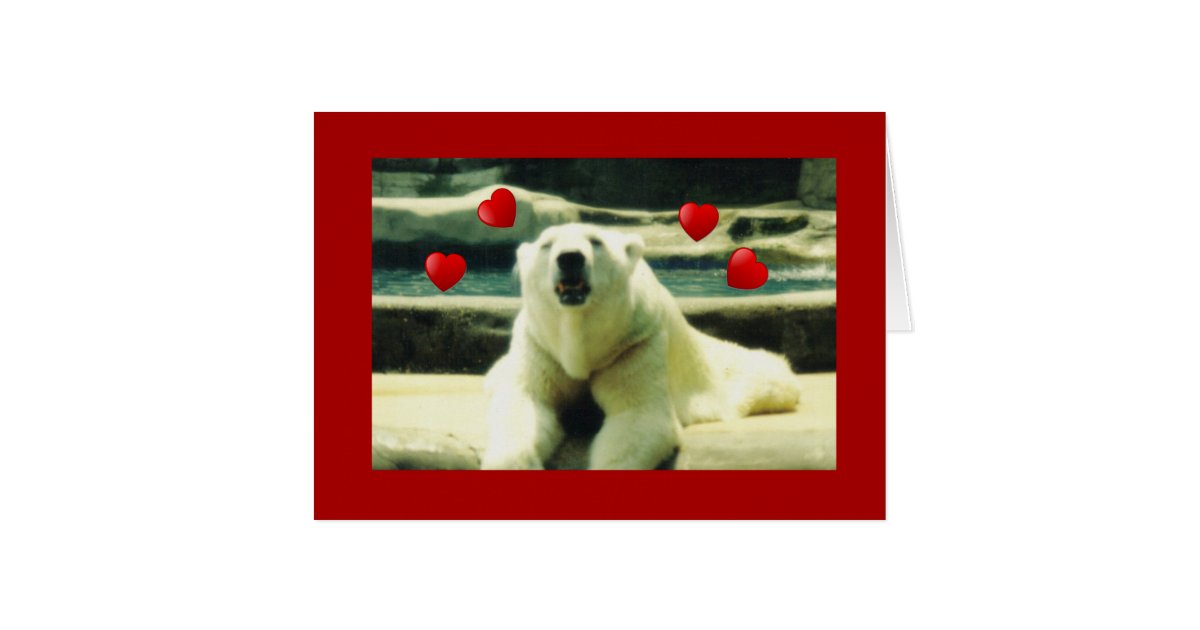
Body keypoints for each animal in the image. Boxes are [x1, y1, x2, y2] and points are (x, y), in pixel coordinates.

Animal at [480, 223, 801, 470]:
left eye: (595, 241)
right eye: (547, 244)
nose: (570, 258)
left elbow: (639, 415)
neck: (582, 340)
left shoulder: (635, 343)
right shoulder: (541, 346)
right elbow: (526, 402)